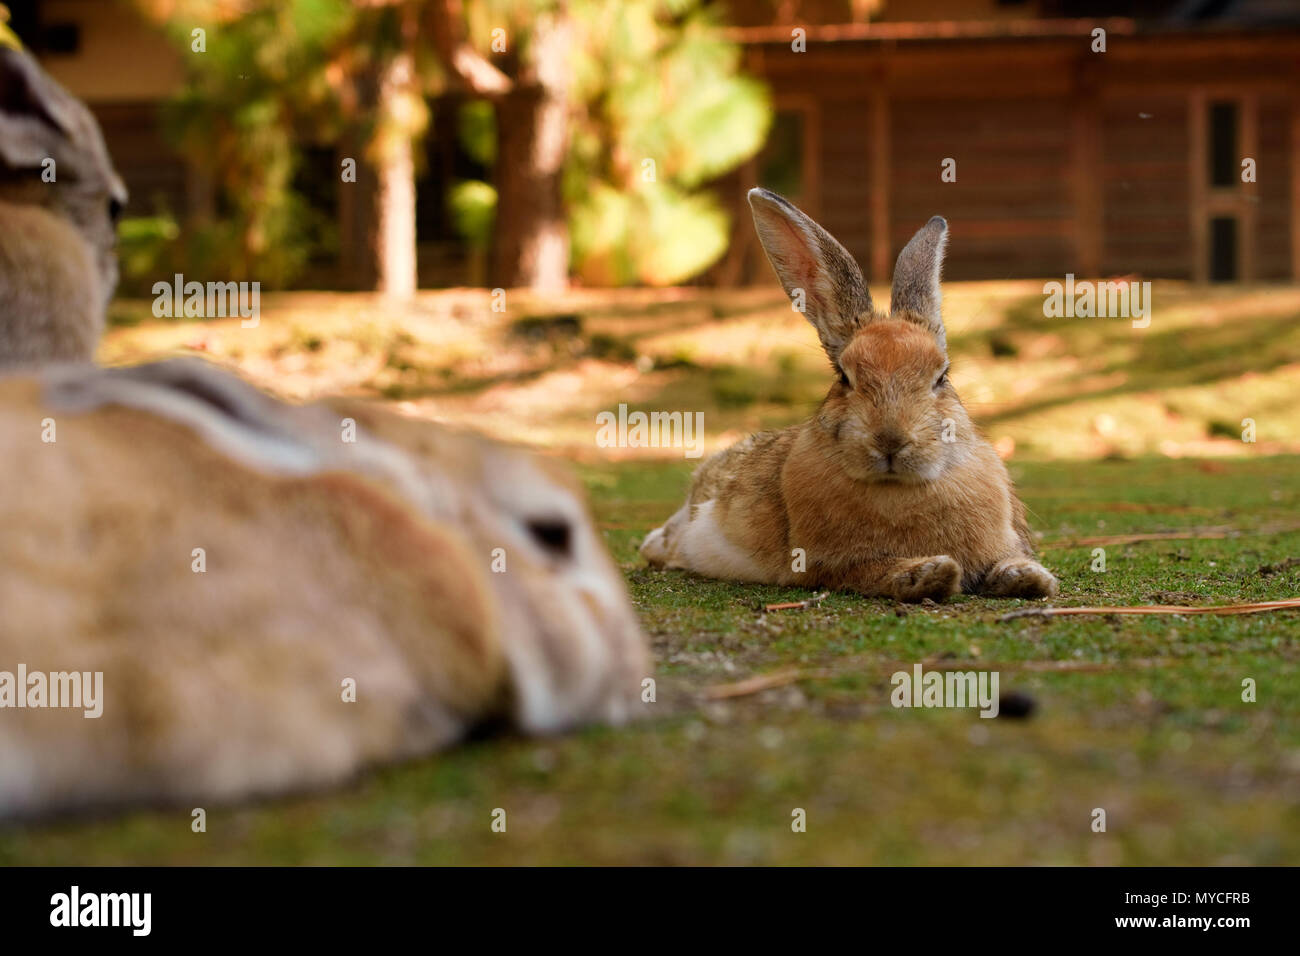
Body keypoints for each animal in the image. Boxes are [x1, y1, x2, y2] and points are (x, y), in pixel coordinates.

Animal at [641, 188, 1057, 603]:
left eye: (942, 376)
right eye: (845, 376)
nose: (890, 441)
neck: (897, 487)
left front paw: (1029, 577)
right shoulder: (827, 565)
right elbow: (869, 571)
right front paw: (929, 573)